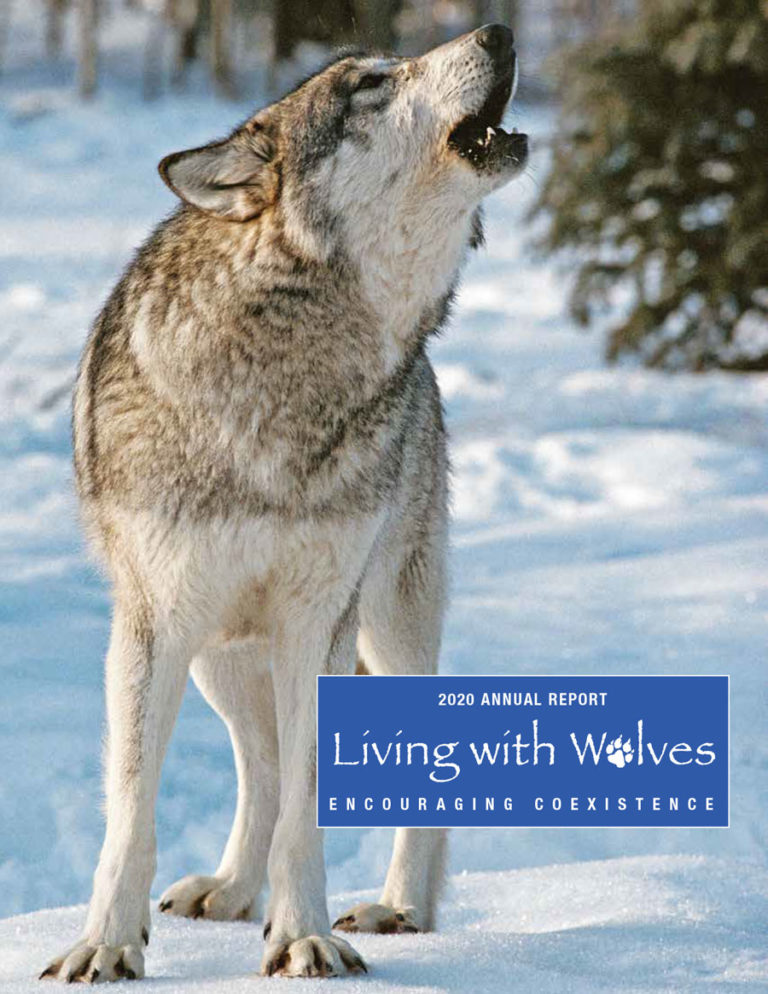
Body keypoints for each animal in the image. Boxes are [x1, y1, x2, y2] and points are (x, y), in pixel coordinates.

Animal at [41, 24, 526, 983]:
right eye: (372, 83)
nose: (499, 32)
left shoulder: (317, 624)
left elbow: (307, 810)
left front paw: (303, 937)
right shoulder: (153, 626)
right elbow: (133, 814)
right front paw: (105, 945)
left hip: (381, 630)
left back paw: (401, 909)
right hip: (219, 654)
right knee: (257, 764)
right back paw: (231, 893)